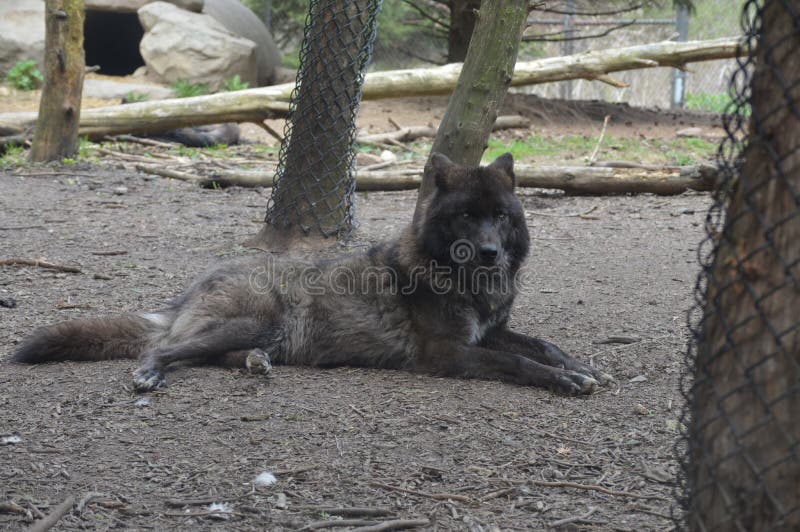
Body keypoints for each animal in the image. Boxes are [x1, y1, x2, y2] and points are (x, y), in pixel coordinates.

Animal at [10, 153, 611, 395]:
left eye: (501, 217)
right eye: (466, 215)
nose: (488, 252)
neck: (464, 281)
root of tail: (188, 290)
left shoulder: (490, 331)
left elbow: (543, 345)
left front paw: (583, 367)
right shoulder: (448, 353)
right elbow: (518, 362)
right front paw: (565, 381)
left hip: (266, 331)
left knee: (206, 355)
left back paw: (254, 363)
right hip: (259, 319)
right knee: (162, 349)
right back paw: (151, 374)